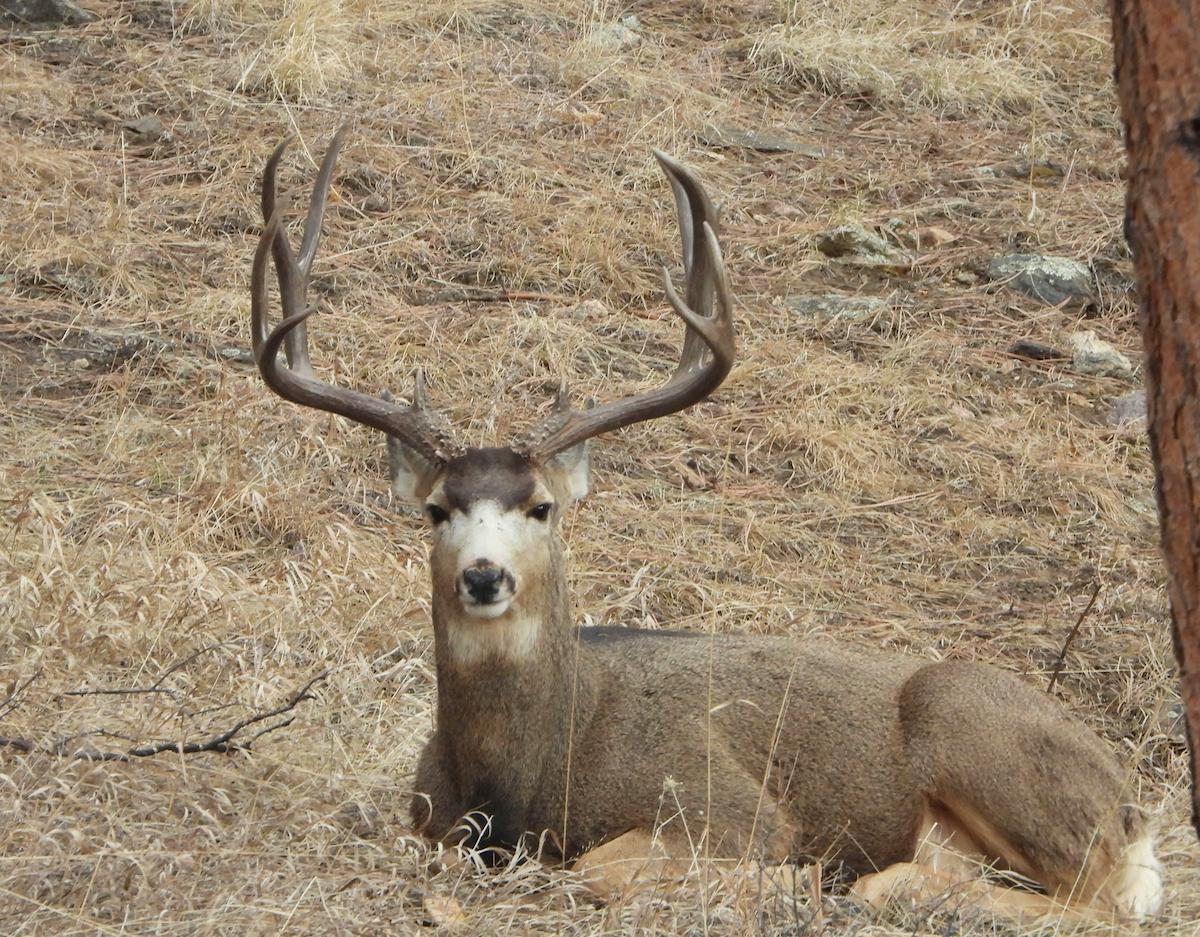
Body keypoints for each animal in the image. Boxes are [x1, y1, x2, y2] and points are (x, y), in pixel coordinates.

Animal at [248, 128, 1164, 925]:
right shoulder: (426, 818)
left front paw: (790, 880)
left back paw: (879, 883)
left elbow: (598, 865)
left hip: (970, 725)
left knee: (1103, 903)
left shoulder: (726, 804)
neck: (528, 774)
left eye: (541, 506)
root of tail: (1130, 803)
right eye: (437, 509)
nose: (483, 574)